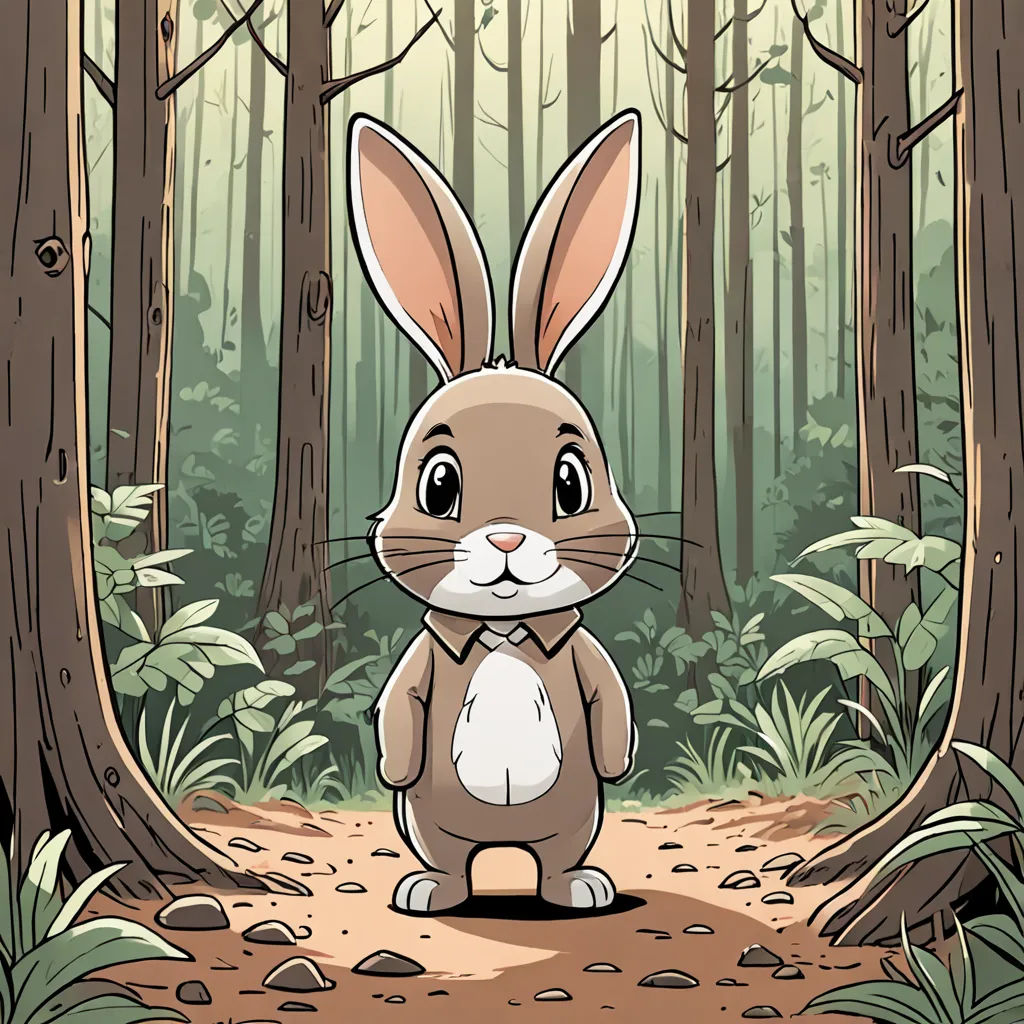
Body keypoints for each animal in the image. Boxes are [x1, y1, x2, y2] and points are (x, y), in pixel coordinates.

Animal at [347, 108, 642, 914]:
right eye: (439, 486)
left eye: (571, 483)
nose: (507, 540)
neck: (504, 633)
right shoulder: (422, 664)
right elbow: (400, 707)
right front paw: (388, 764)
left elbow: (608, 696)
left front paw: (620, 756)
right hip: (431, 824)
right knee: (450, 859)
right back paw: (430, 891)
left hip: (575, 818)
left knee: (558, 856)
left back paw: (577, 888)